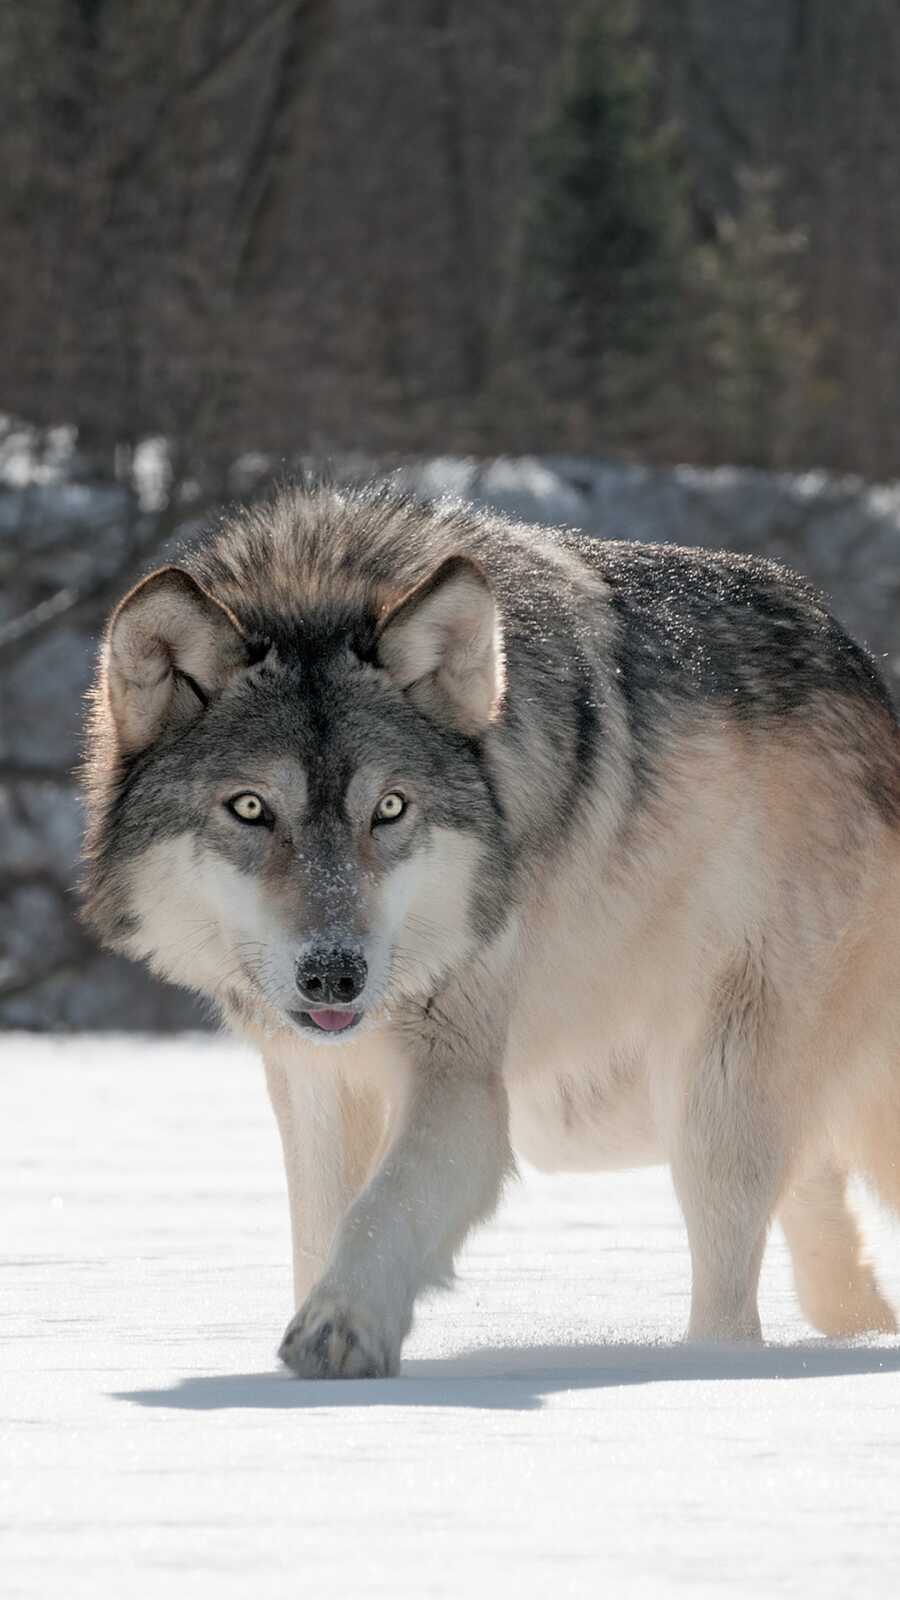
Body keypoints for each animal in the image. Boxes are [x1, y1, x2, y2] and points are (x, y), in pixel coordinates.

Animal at [81, 482, 900, 1376]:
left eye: (391, 807)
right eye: (251, 808)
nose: (335, 974)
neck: (323, 580)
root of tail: (869, 681)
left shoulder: (462, 1078)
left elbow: (382, 1210)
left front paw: (339, 1331)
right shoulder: (317, 1078)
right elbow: (323, 1226)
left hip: (712, 1095)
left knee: (734, 1292)